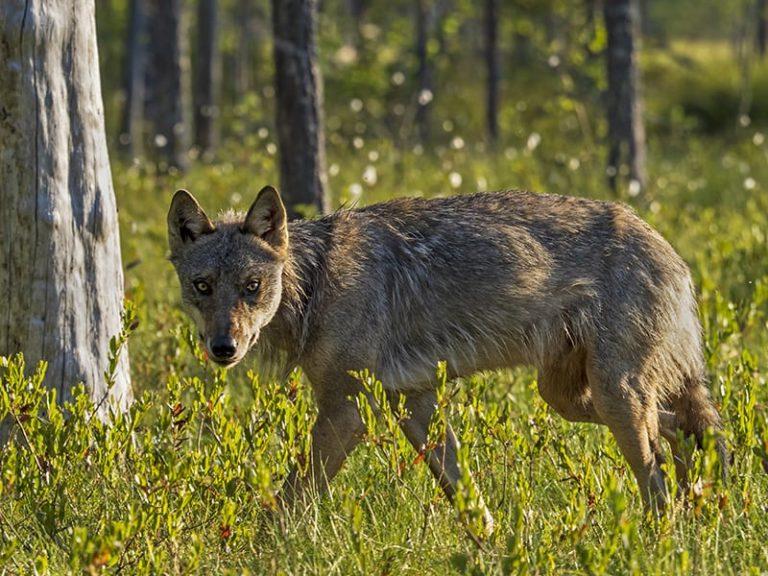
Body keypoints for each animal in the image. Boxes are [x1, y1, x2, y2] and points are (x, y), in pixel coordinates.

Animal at [168, 186, 726, 526]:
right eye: (203, 286)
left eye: (252, 287)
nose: (223, 348)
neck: (317, 283)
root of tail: (665, 244)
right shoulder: (415, 404)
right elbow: (469, 499)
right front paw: (493, 546)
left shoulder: (347, 413)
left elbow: (285, 504)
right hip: (568, 397)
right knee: (684, 430)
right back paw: (705, 490)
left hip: (612, 399)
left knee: (659, 479)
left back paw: (663, 537)